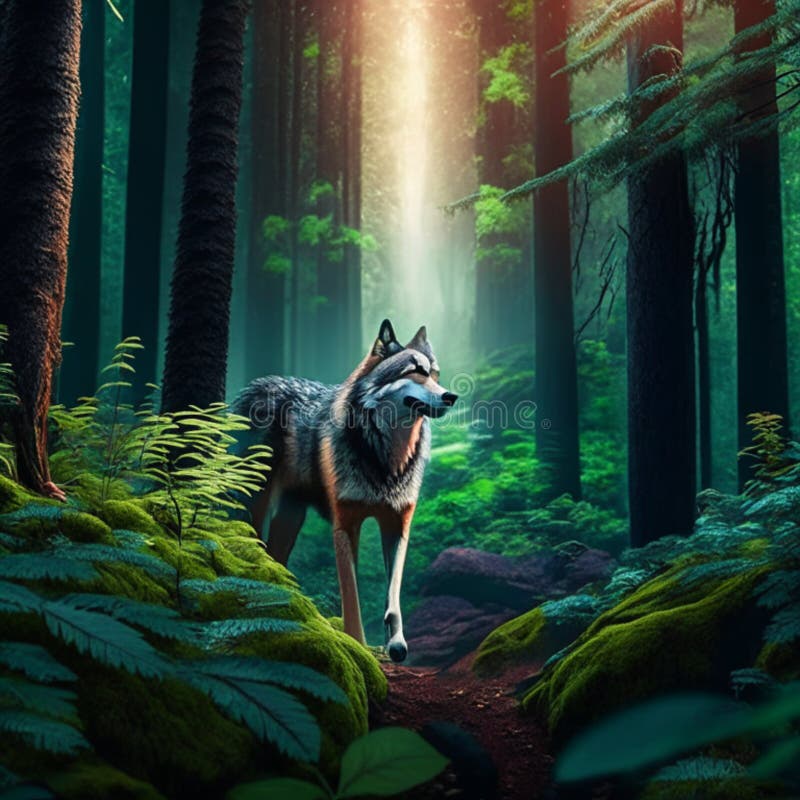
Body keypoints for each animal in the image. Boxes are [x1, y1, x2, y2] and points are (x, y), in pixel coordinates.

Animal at [234, 320, 457, 662]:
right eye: (414, 371)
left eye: (435, 374)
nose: (451, 396)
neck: (385, 460)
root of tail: (256, 384)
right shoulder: (345, 525)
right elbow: (351, 596)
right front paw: (357, 645)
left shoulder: (397, 525)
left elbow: (393, 589)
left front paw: (396, 643)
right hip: (257, 504)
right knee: (252, 542)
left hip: (291, 517)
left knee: (276, 556)